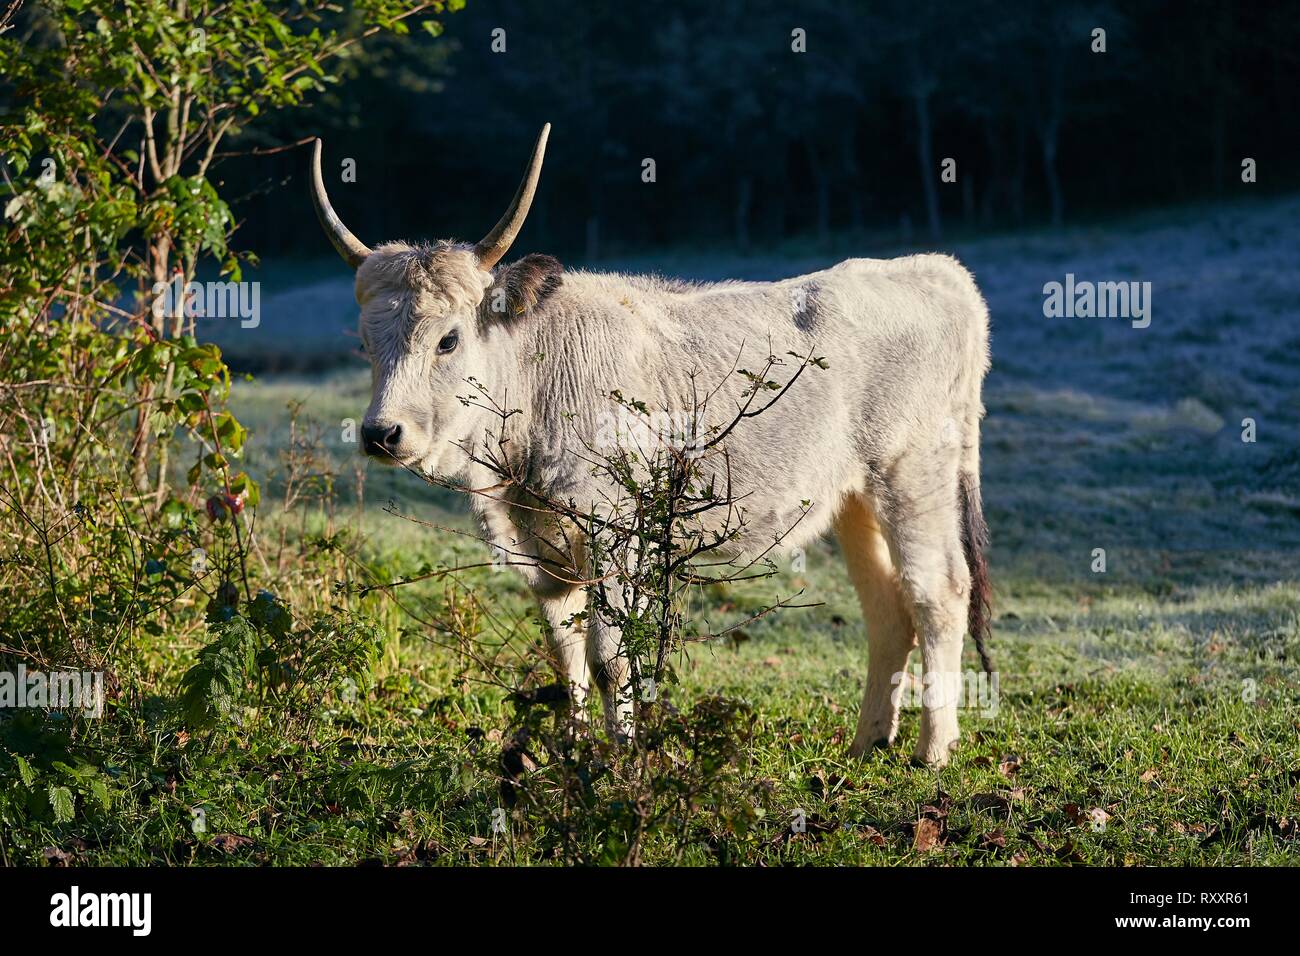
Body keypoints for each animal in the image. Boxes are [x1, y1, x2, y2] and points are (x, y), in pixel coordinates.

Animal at [310, 124, 992, 766]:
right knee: (887, 609)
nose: (381, 433)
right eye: (366, 344)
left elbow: (611, 657)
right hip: (855, 496)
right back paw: (867, 743)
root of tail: (935, 272)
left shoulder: (612, 525)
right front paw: (572, 752)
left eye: (448, 339)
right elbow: (564, 650)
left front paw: (620, 758)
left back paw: (934, 749)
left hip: (914, 474)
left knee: (937, 594)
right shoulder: (541, 542)